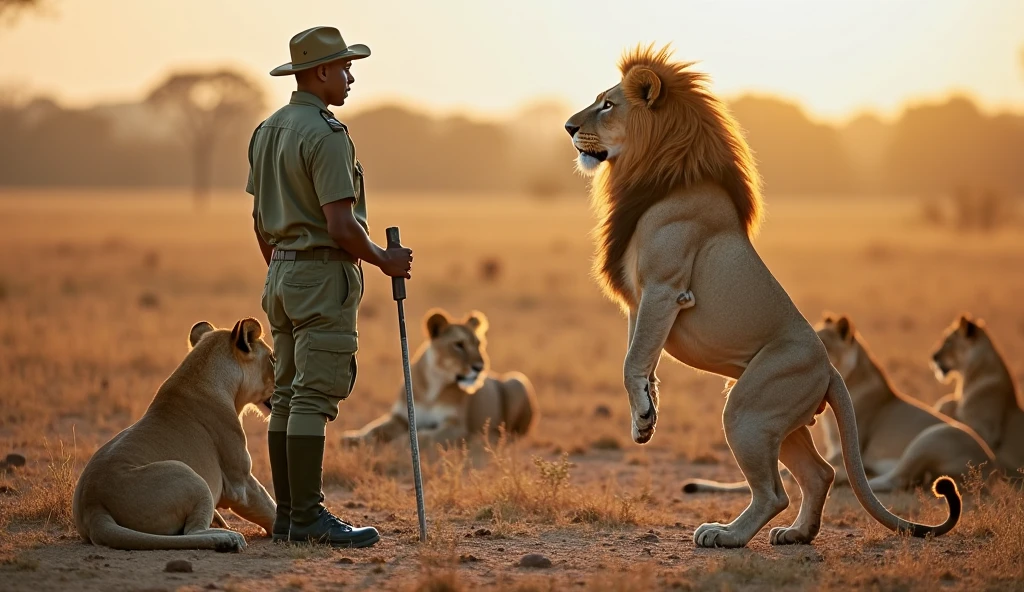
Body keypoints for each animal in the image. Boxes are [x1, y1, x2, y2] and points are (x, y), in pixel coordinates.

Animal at [72, 318, 278, 551]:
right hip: (191, 477)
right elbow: (267, 505)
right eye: (272, 358)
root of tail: (93, 506)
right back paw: (228, 538)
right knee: (192, 532)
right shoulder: (239, 482)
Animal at [341, 308, 537, 448]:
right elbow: (374, 428)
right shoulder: (400, 417)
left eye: (479, 344)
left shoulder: (456, 426)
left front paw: (399, 444)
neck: (433, 385)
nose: (480, 367)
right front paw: (352, 438)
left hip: (517, 380)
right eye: (459, 345)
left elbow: (425, 436)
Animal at [564, 44, 960, 547]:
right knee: (820, 474)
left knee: (774, 492)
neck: (650, 174)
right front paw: (644, 417)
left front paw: (644, 413)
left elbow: (631, 361)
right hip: (777, 418)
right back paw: (797, 535)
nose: (568, 127)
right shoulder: (639, 301)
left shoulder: (665, 289)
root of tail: (830, 369)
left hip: (746, 410)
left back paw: (725, 535)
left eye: (607, 104)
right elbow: (641, 357)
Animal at [682, 314, 994, 494]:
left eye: (824, 343)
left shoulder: (846, 447)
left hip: (928, 438)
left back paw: (848, 481)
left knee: (892, 480)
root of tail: (992, 467)